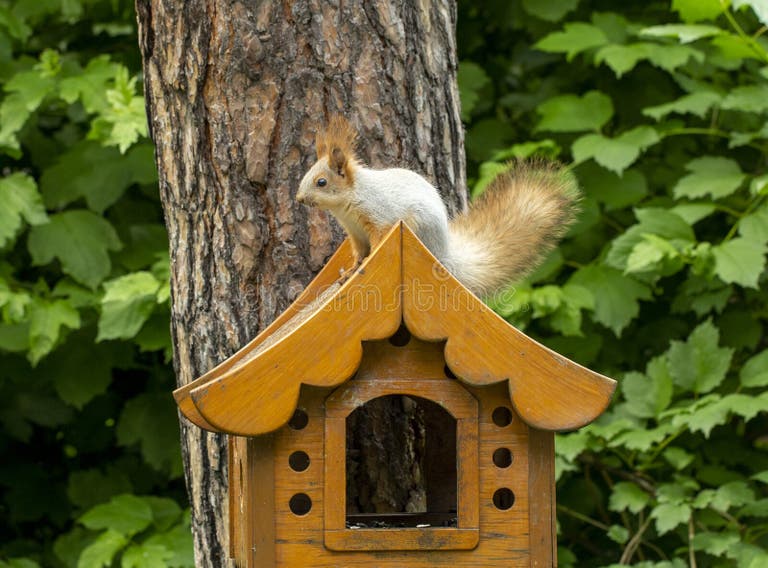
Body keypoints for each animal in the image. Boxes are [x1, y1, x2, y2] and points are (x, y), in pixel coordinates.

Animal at [296, 116, 580, 299]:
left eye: (321, 182)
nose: (299, 199)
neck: (347, 205)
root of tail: (444, 254)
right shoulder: (355, 233)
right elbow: (358, 252)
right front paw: (350, 271)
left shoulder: (378, 218)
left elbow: (378, 243)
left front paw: (366, 265)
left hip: (417, 228)